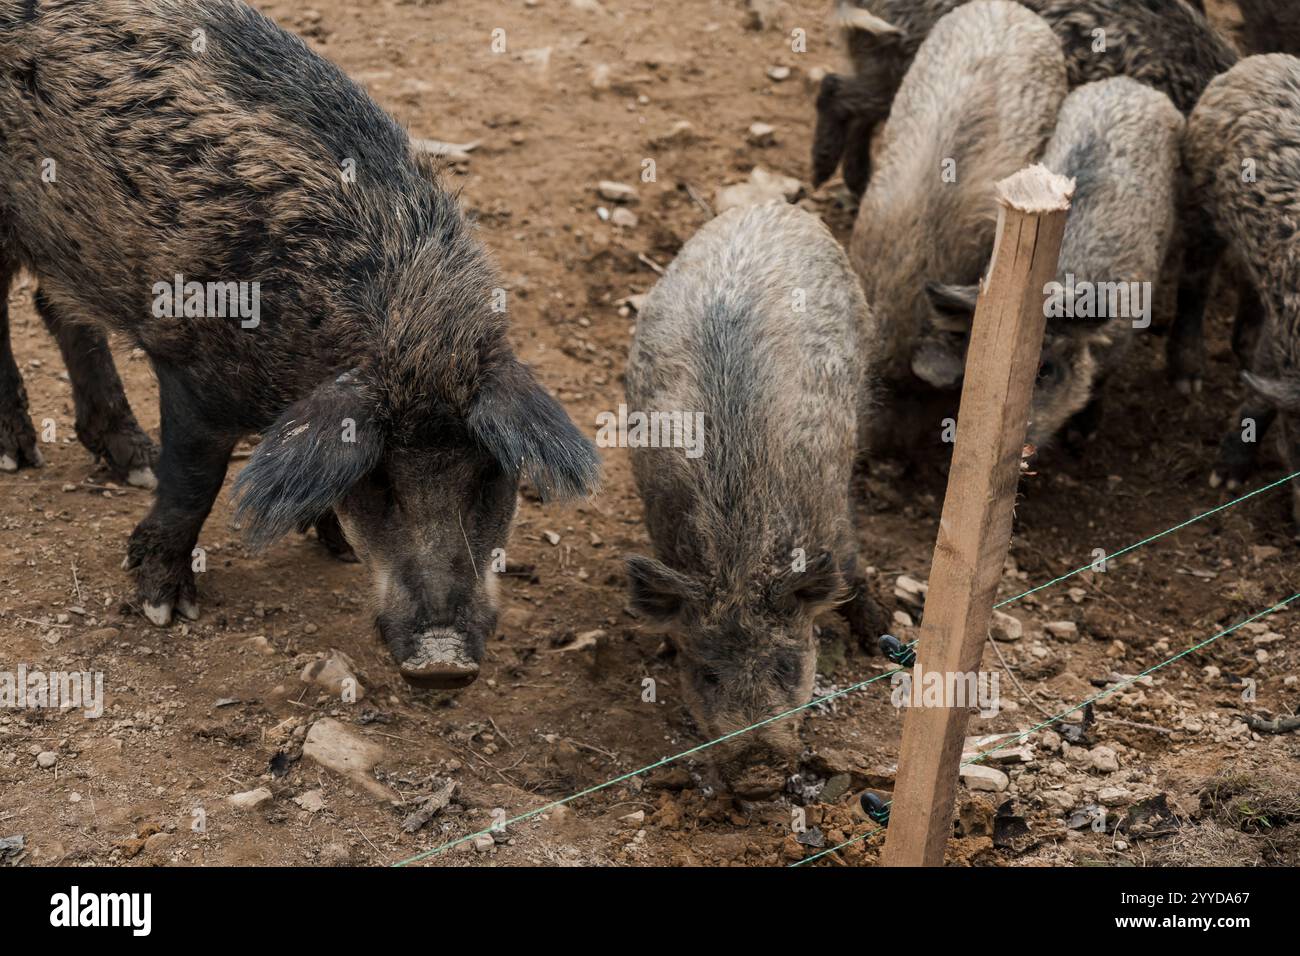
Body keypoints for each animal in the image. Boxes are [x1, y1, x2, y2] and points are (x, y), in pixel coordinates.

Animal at [0, 0, 599, 686]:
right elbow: (193, 483)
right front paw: (164, 609)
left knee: (54, 307)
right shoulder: (196, 375)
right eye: (381, 478)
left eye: (491, 475)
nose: (442, 661)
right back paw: (22, 457)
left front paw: (336, 546)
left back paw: (131, 460)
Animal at [624, 202, 888, 798]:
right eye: (707, 673)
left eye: (787, 667)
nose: (758, 773)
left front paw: (879, 639)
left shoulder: (832, 519)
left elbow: (852, 573)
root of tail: (766, 207)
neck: (739, 558)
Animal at [814, 0, 1237, 197]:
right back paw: (820, 175)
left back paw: (856, 184)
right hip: (899, 66)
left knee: (857, 107)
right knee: (833, 89)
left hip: (885, 65)